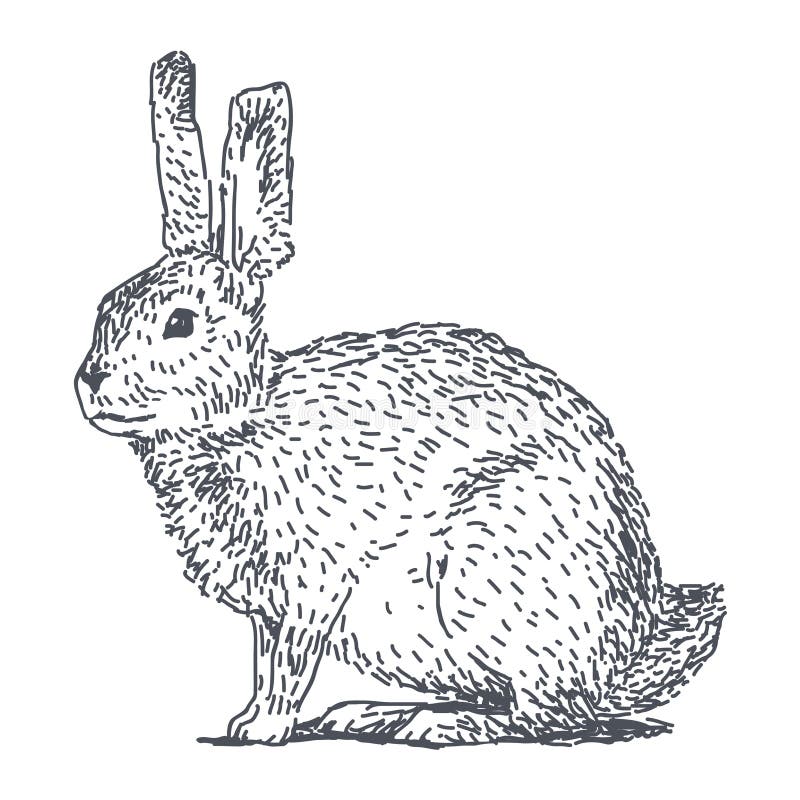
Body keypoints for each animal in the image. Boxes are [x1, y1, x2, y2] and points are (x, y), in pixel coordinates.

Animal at [75, 51, 725, 747]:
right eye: (107, 304)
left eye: (180, 324)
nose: (89, 384)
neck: (242, 421)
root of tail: (621, 650)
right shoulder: (268, 608)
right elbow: (263, 660)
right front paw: (250, 717)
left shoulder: (311, 584)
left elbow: (288, 665)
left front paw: (261, 728)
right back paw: (371, 712)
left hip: (485, 579)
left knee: (540, 714)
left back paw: (433, 724)